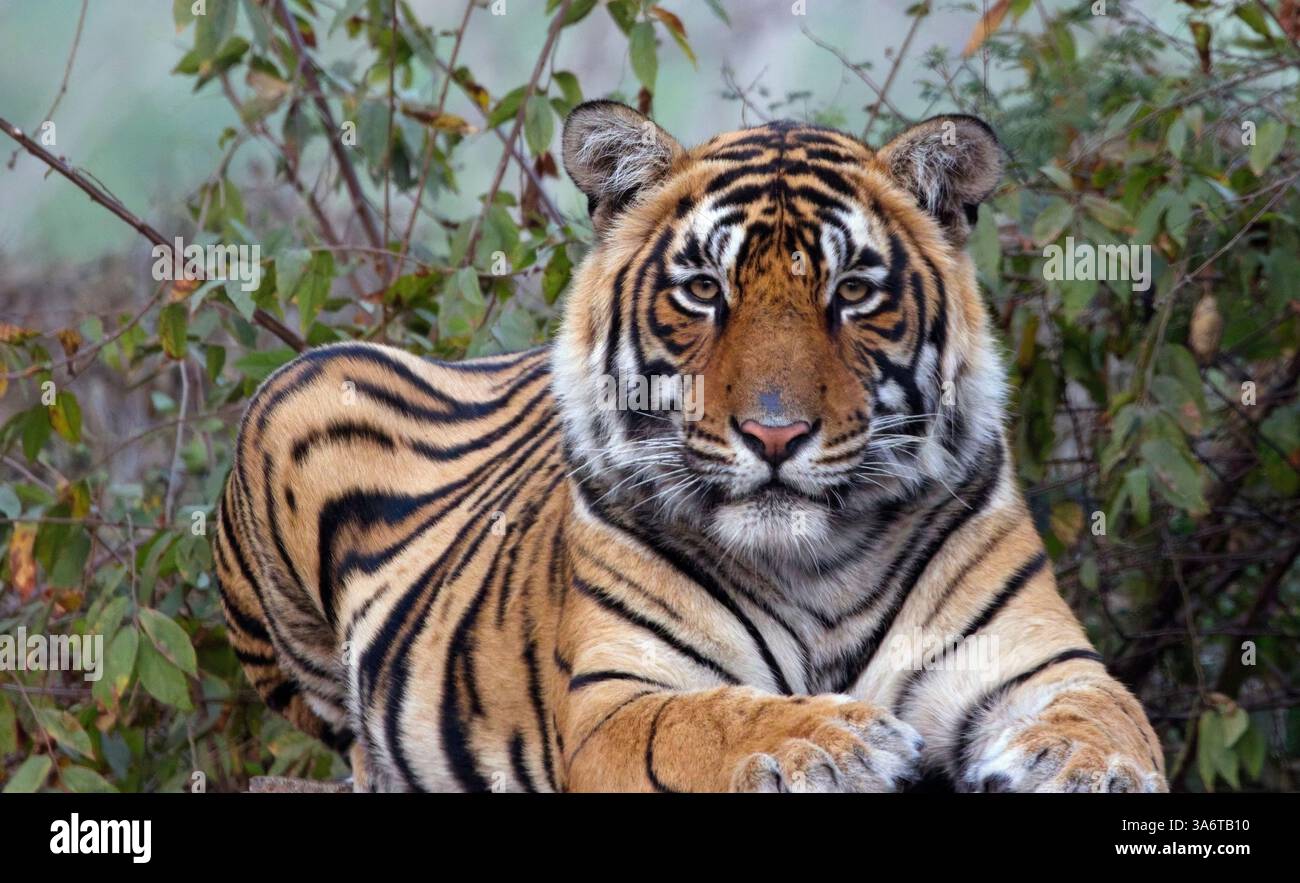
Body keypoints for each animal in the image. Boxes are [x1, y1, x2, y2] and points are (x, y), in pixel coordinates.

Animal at [213, 100, 1167, 793]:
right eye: (705, 289)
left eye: (853, 291)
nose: (776, 432)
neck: (820, 566)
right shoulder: (617, 702)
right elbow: (712, 717)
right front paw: (833, 733)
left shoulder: (1038, 659)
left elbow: (1113, 713)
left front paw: (1089, 765)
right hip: (302, 406)